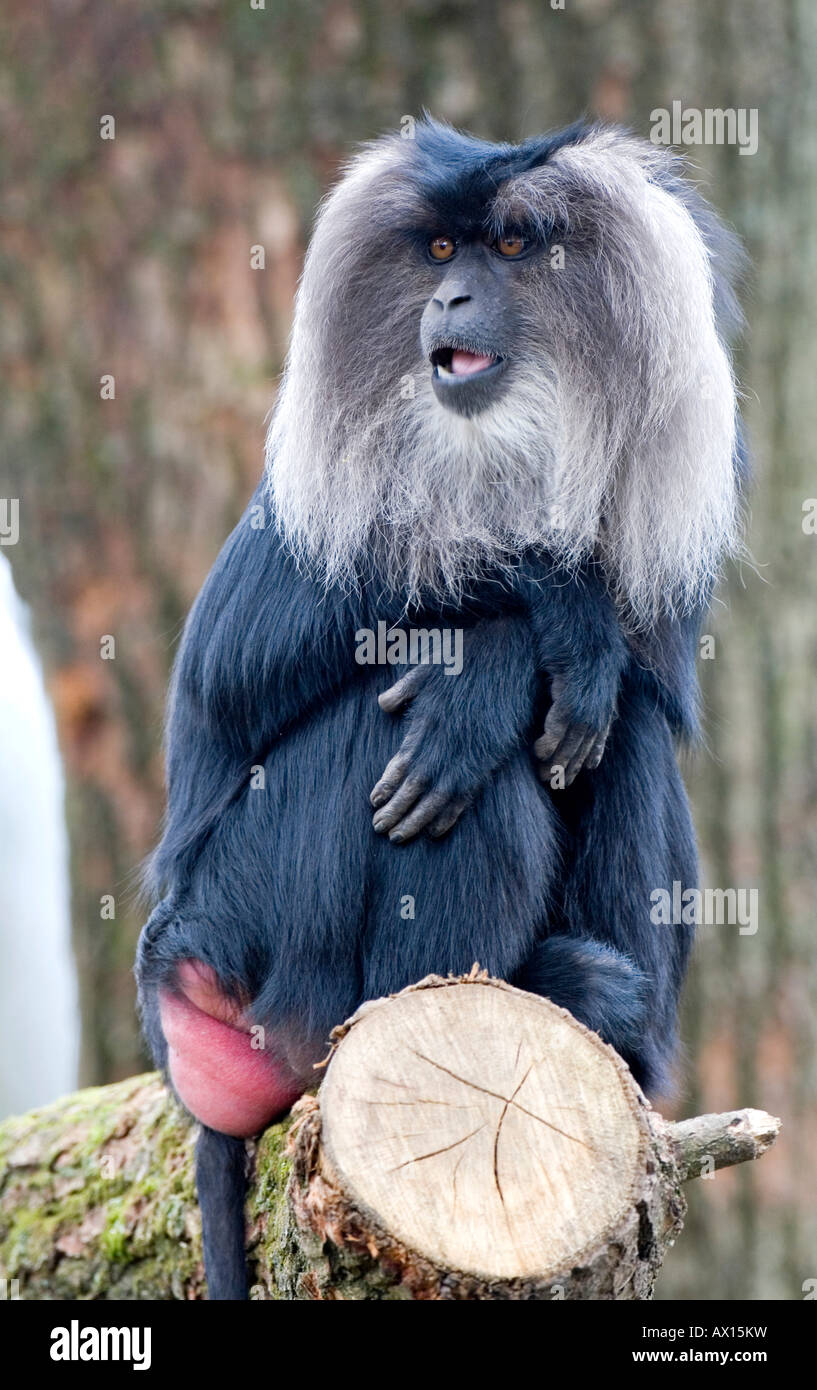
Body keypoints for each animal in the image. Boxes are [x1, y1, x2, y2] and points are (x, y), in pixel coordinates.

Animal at [136, 118, 746, 1299]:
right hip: (251, 928)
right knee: (448, 764)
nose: (450, 300)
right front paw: (533, 621)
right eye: (437, 252)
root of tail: (171, 987)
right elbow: (240, 660)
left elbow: (647, 685)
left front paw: (562, 633)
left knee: (621, 733)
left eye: (508, 248)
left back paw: (612, 1029)